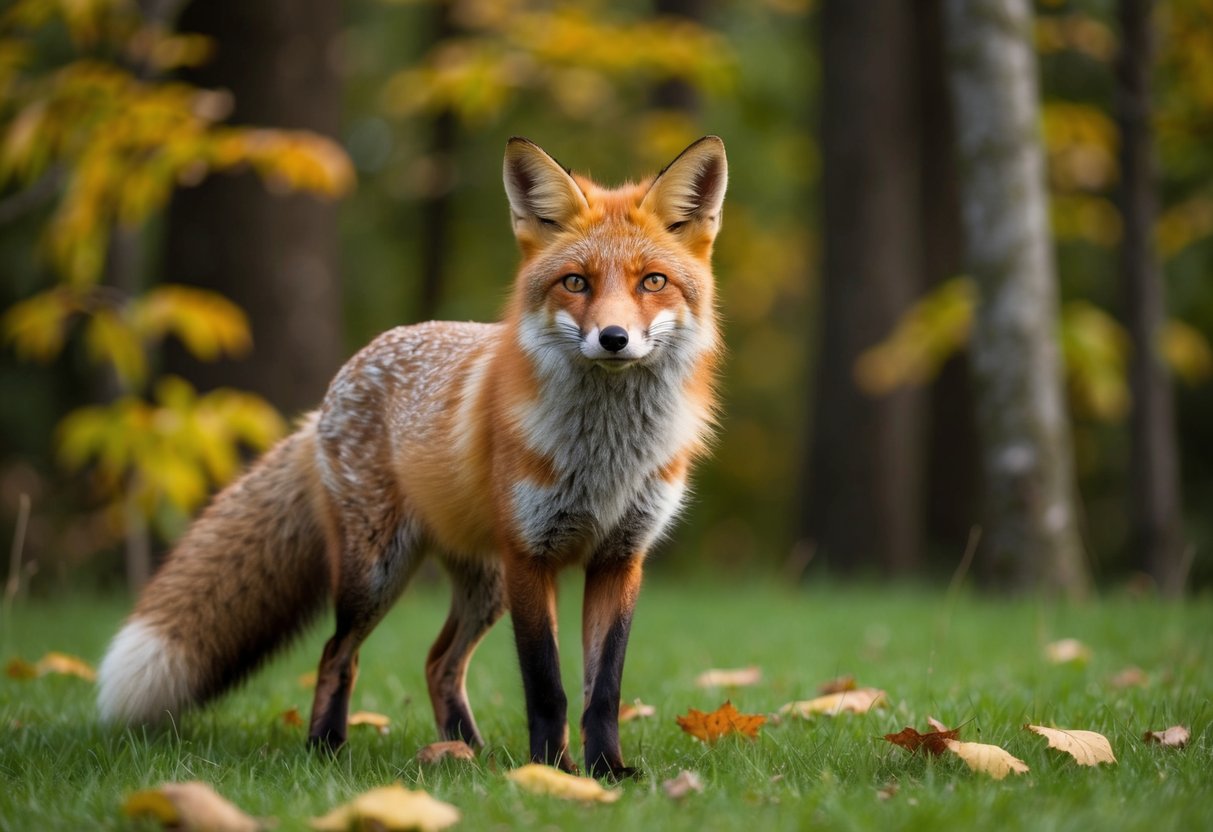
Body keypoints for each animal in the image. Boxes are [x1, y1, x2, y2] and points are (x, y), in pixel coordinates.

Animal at [96, 136, 727, 779]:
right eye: (576, 283)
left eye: (652, 281)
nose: (614, 338)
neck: (607, 457)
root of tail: (328, 399)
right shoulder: (531, 555)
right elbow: (546, 685)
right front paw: (551, 772)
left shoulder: (620, 559)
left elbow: (604, 689)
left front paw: (605, 773)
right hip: (380, 571)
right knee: (337, 653)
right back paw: (327, 748)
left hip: (484, 584)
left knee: (437, 661)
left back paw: (465, 752)